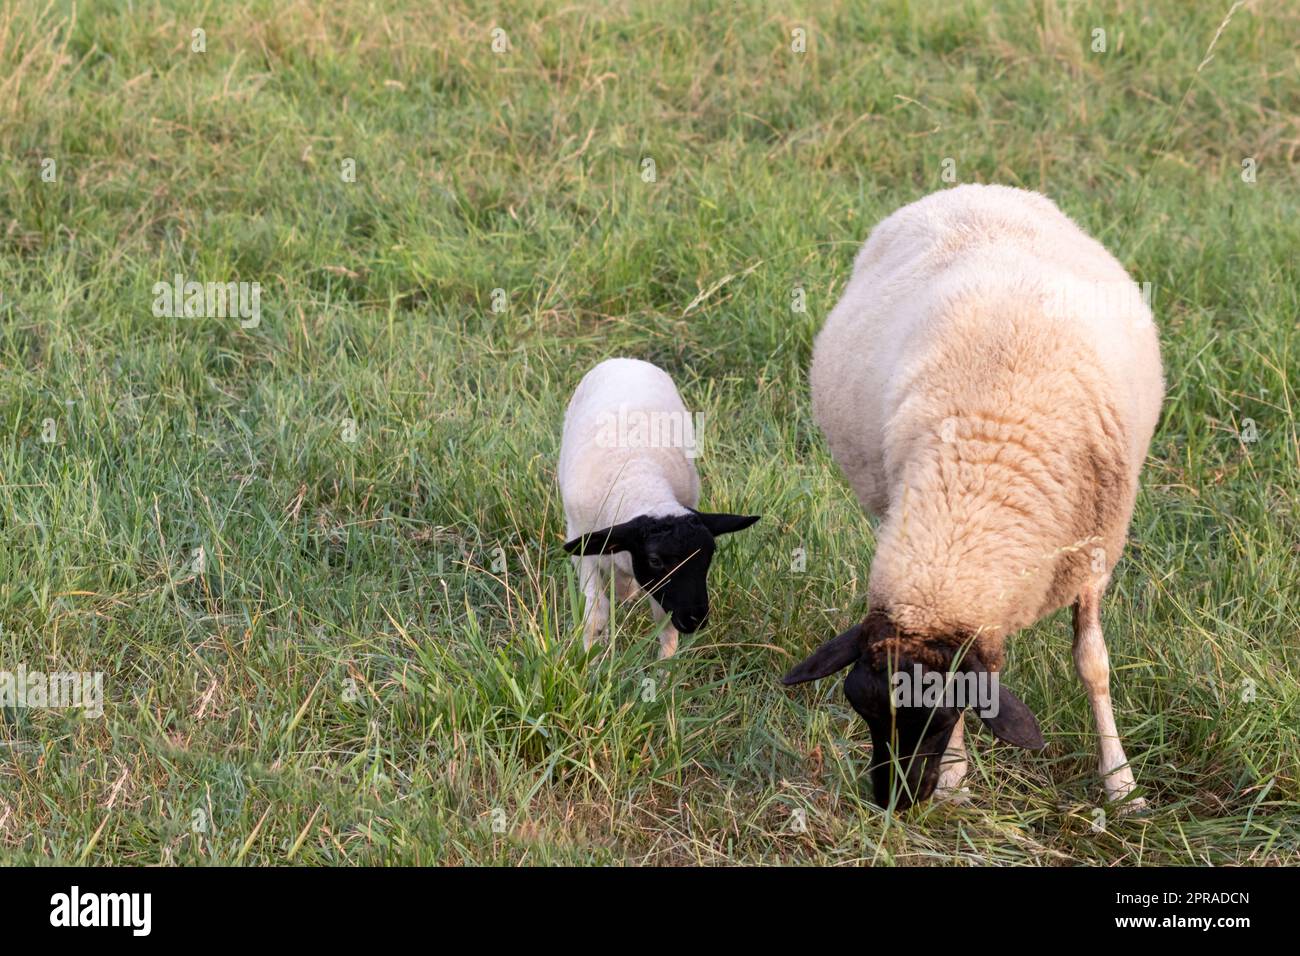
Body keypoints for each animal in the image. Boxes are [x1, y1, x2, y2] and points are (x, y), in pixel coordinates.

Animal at [559, 358, 760, 658]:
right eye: (654, 560)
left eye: (710, 553)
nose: (695, 619)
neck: (638, 481)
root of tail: (627, 361)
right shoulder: (583, 550)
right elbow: (596, 616)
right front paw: (592, 660)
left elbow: (664, 624)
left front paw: (665, 667)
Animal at [783, 184, 1163, 811]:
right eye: (861, 711)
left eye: (939, 717)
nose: (894, 802)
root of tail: (972, 188)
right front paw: (957, 779)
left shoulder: (1093, 550)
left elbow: (1093, 665)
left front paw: (1122, 785)